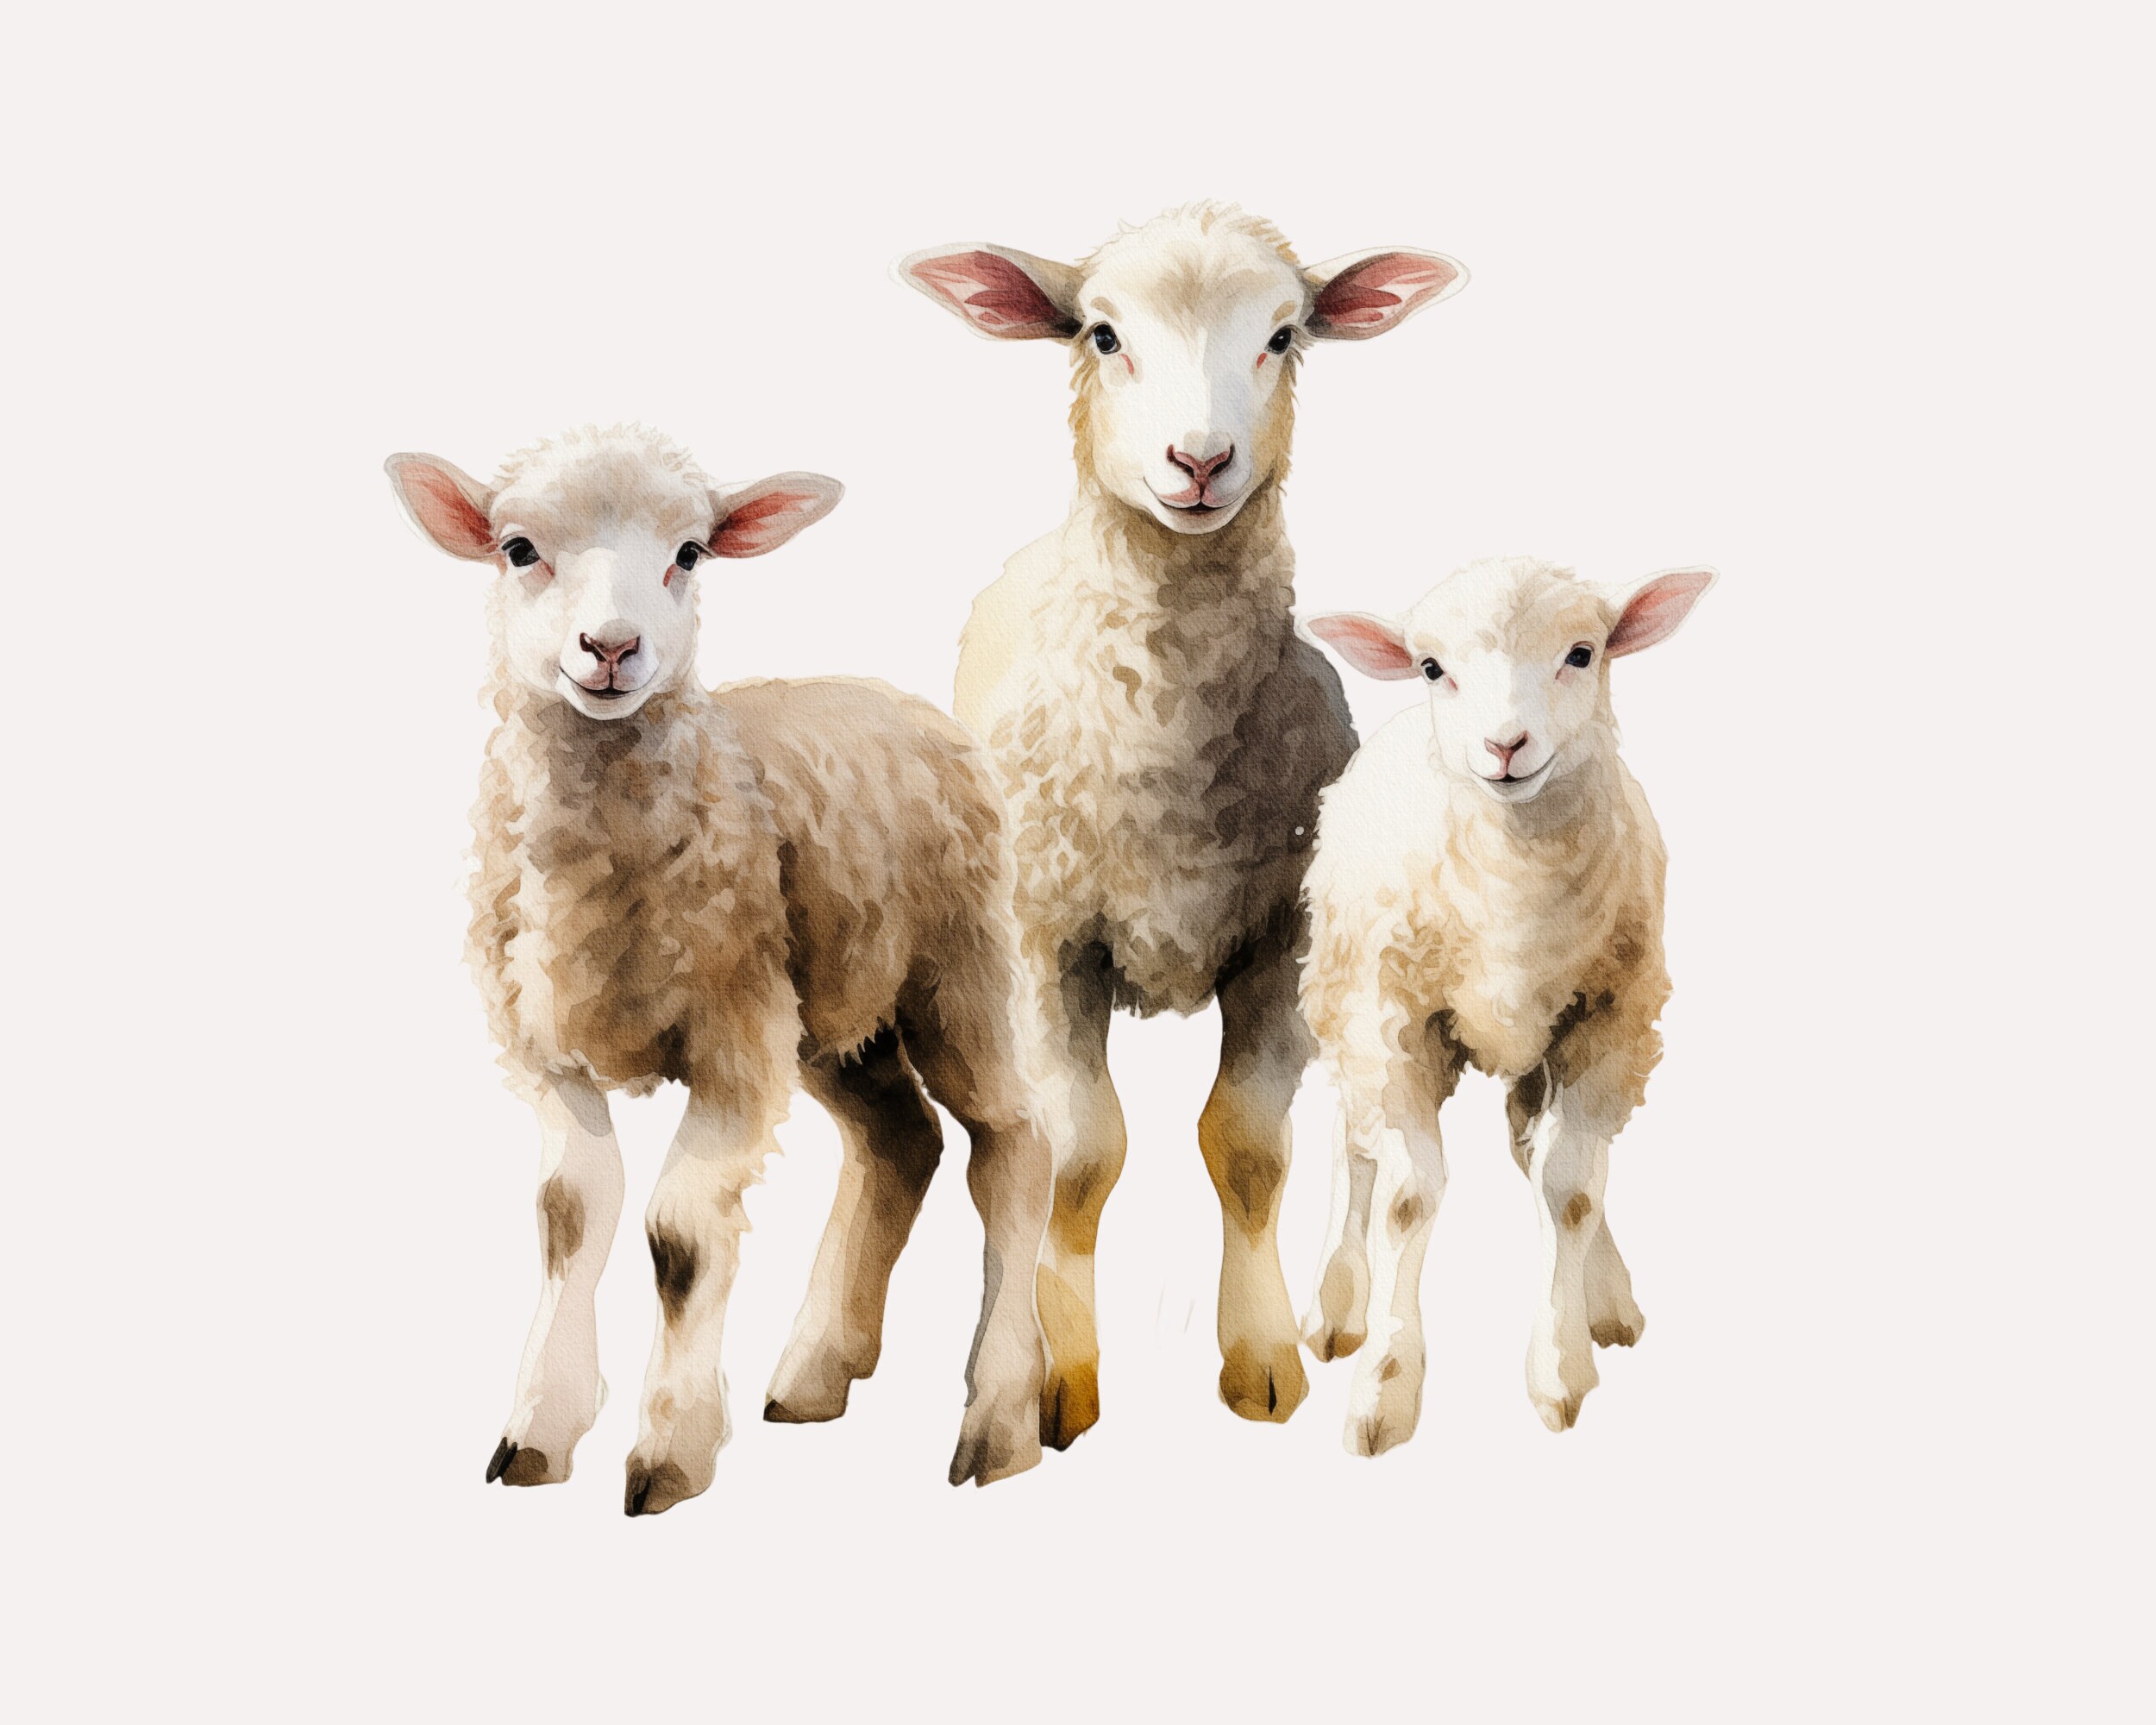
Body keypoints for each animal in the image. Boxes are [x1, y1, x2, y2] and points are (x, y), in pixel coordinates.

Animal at [384, 425, 1052, 1510]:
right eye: (518, 548)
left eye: (690, 552)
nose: (612, 648)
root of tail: (898, 696)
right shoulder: (549, 1052)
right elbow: (569, 1219)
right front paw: (538, 1430)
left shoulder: (733, 1042)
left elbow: (680, 1237)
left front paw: (668, 1450)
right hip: (832, 1010)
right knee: (899, 1140)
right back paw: (817, 1370)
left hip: (956, 968)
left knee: (1014, 1141)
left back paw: (998, 1420)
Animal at [899, 203, 1468, 1443]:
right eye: (1102, 334)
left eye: (1285, 334)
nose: (1200, 463)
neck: (1168, 764)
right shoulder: (1051, 943)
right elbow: (1079, 1157)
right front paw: (1062, 1371)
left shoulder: (1278, 945)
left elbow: (1245, 1148)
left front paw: (1262, 1356)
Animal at [1298, 555, 1715, 1454]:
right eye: (1431, 668)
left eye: (1582, 653)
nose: (1504, 746)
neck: (1513, 898)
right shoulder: (1393, 1020)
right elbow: (1406, 1197)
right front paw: (1385, 1384)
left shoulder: (1609, 1020)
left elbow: (1572, 1188)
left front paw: (1561, 1364)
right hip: (1345, 998)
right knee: (1356, 1149)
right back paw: (1332, 1303)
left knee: (1538, 1150)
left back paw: (1607, 1293)